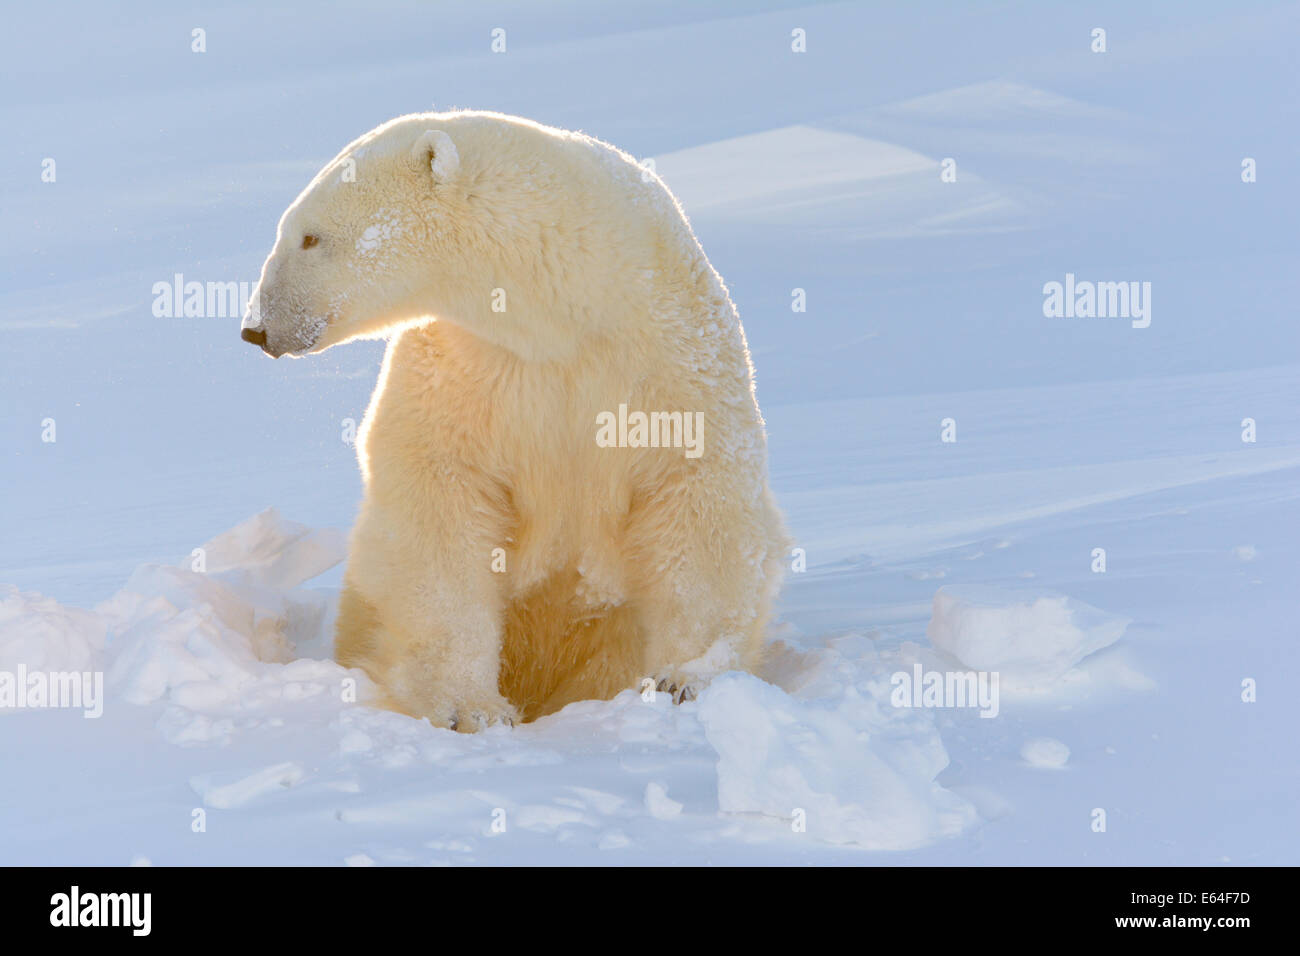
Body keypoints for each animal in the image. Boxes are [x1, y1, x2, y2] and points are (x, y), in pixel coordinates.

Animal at [241, 111, 788, 731]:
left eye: (310, 236)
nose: (257, 328)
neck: (563, 313)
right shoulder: (461, 370)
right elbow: (440, 514)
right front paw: (470, 708)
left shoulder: (666, 355)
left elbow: (696, 495)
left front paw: (685, 679)